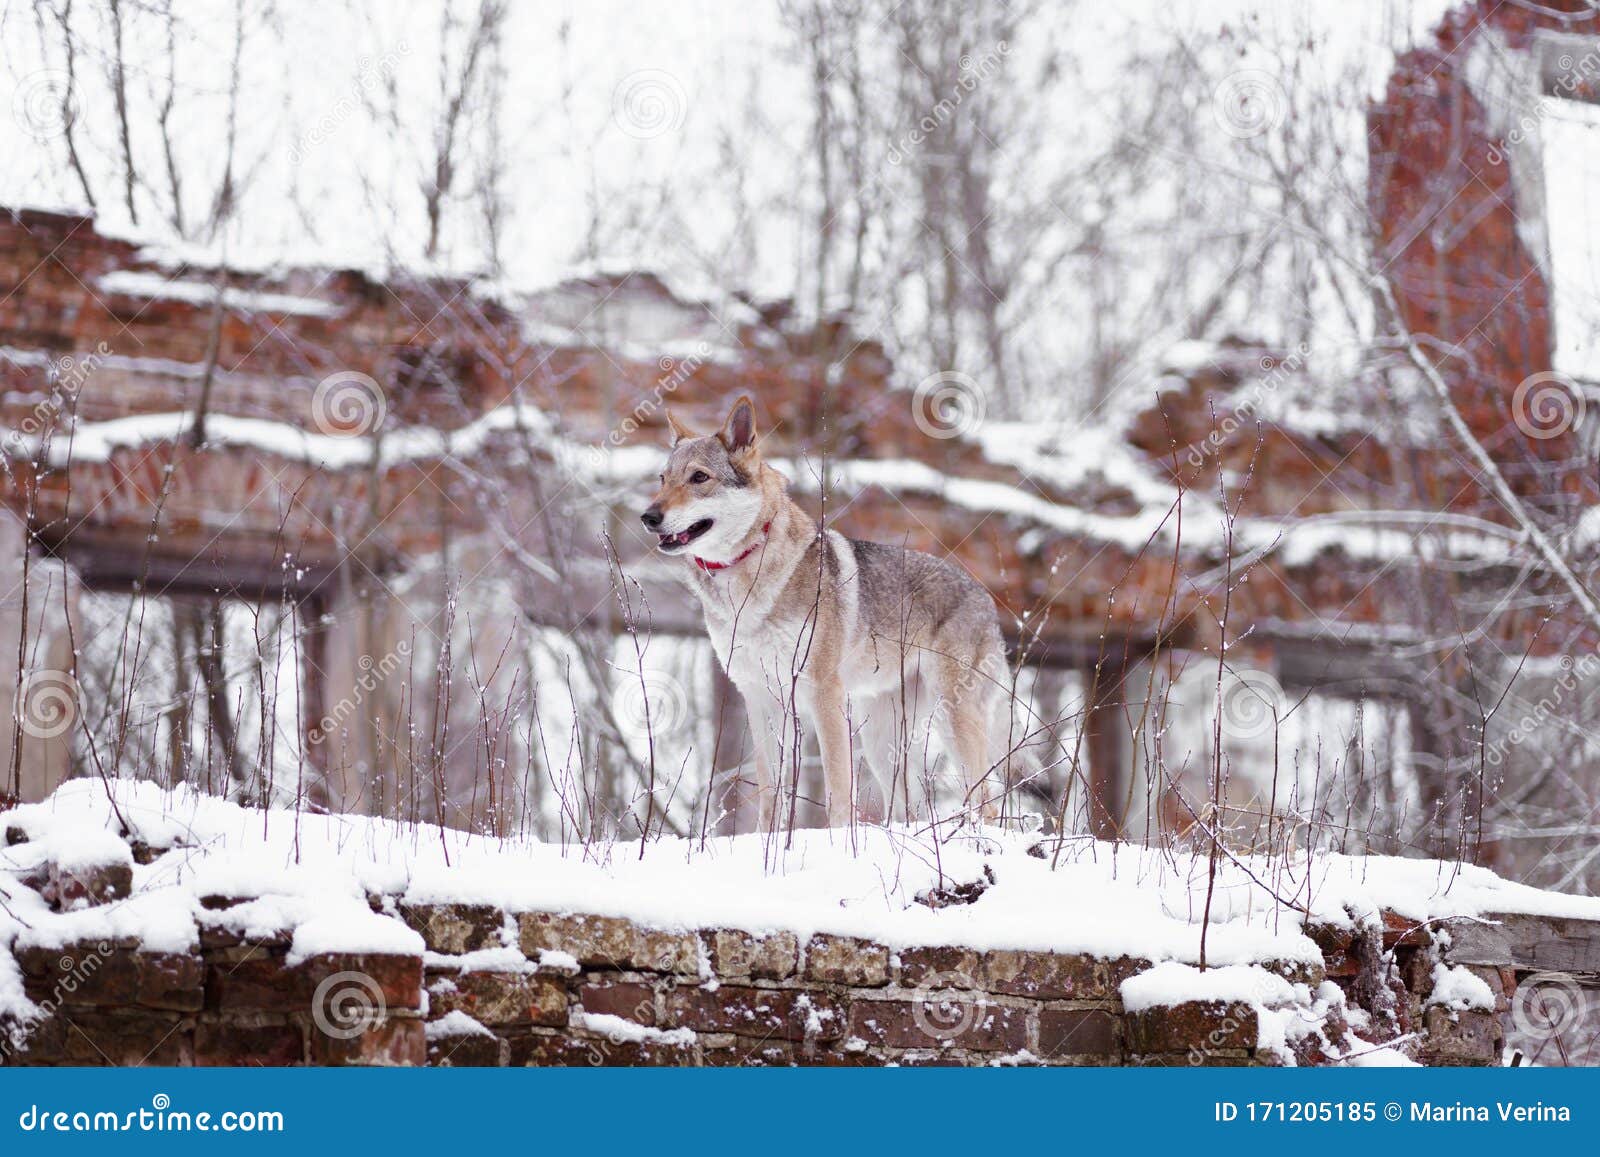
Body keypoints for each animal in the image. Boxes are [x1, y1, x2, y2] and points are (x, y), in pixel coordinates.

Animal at [641, 395, 1011, 829]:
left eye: (699, 477)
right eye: (663, 479)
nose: (648, 517)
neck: (744, 580)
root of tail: (985, 596)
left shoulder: (824, 692)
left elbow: (837, 790)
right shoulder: (759, 698)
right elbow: (770, 796)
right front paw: (767, 843)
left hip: (951, 720)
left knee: (988, 801)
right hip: (885, 742)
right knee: (915, 806)